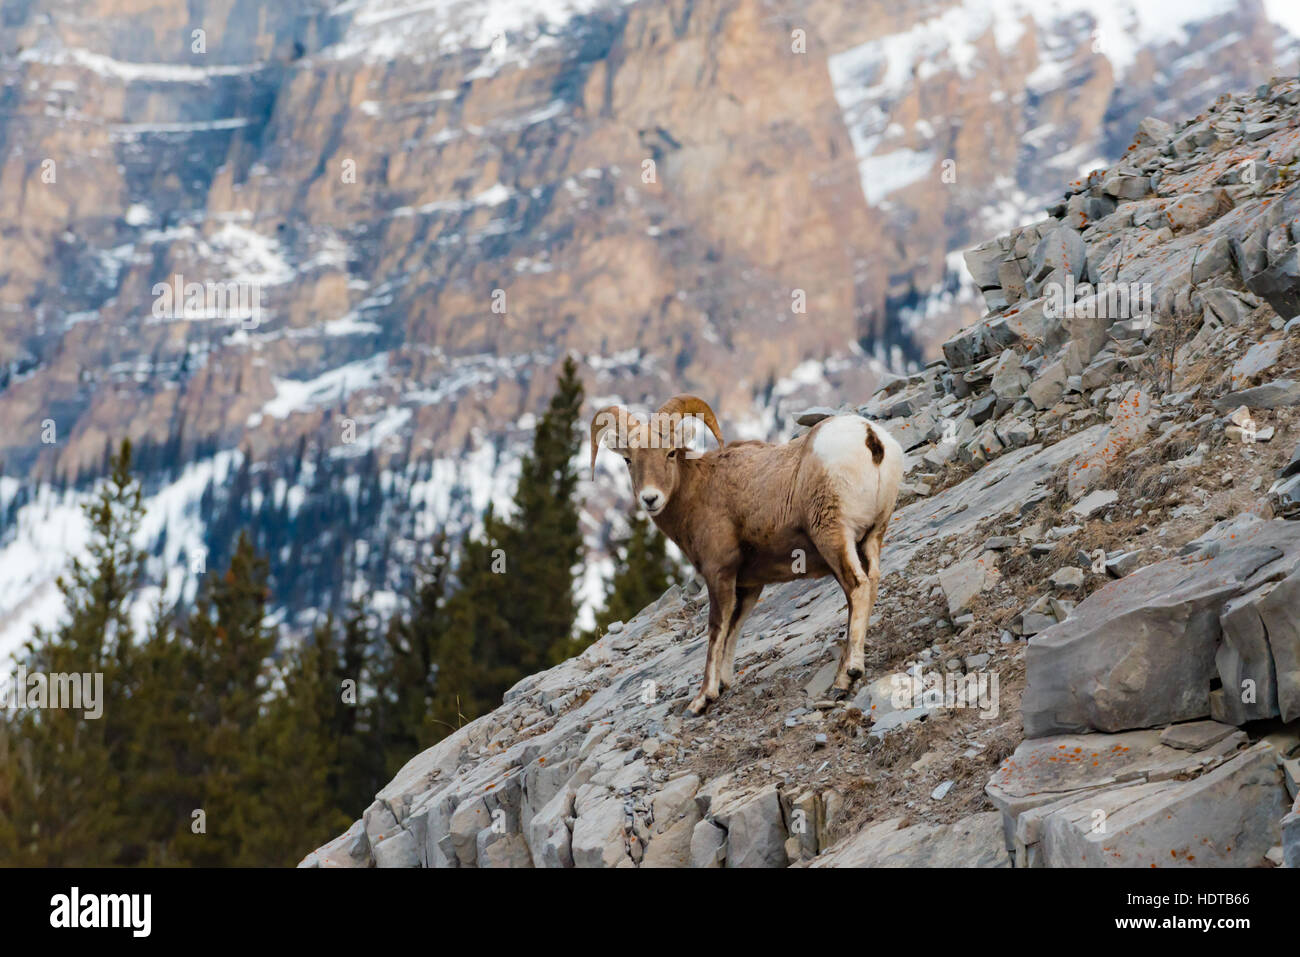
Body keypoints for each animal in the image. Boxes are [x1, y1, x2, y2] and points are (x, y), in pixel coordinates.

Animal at [590, 394, 904, 716]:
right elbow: (734, 627)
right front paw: (724, 684)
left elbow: (716, 629)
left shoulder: (719, 573)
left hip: (833, 537)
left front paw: (703, 698)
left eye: (670, 453)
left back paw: (846, 677)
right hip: (871, 537)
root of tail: (870, 438)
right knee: (871, 582)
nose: (650, 499)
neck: (698, 493)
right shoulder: (749, 585)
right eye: (629, 460)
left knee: (857, 587)